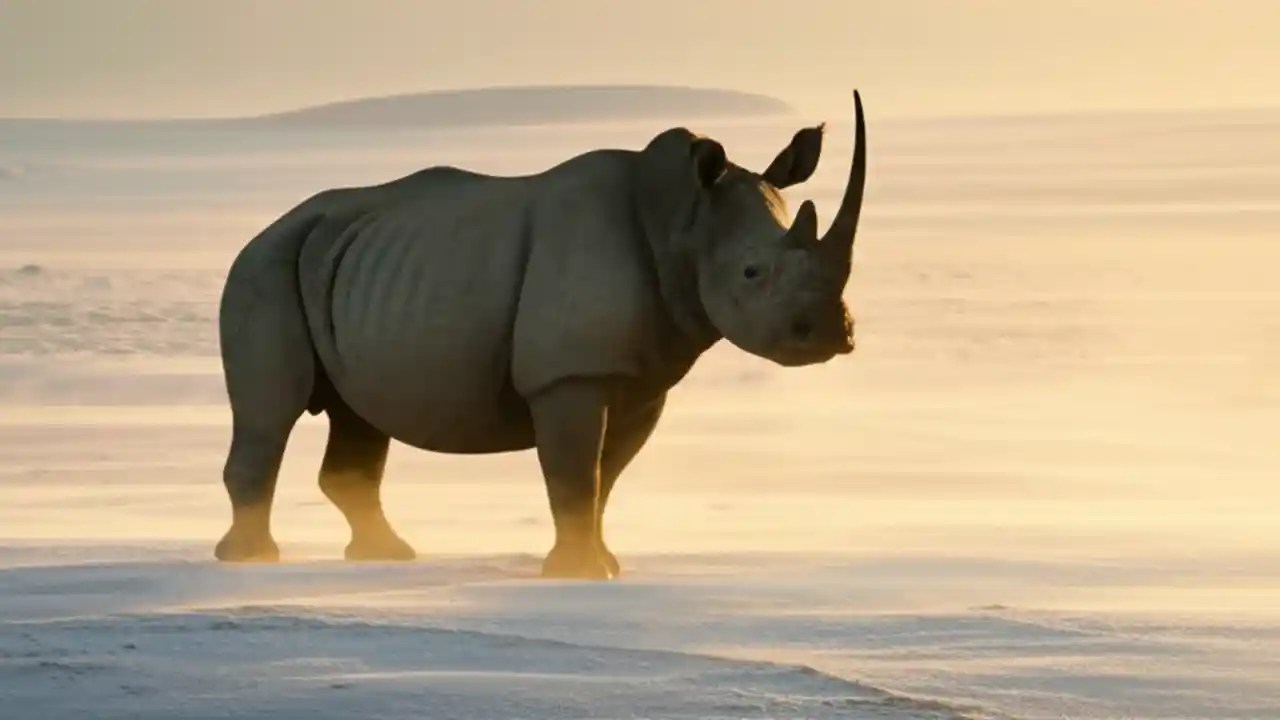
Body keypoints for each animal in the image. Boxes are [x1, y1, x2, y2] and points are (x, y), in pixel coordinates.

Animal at [215, 91, 867, 579]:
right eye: (752, 273)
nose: (830, 334)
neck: (682, 222)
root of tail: (265, 229)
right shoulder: (568, 375)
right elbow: (575, 474)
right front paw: (578, 574)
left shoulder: (640, 380)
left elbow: (606, 478)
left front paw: (605, 566)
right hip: (263, 267)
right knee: (271, 411)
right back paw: (252, 561)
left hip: (351, 269)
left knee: (359, 414)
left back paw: (386, 556)